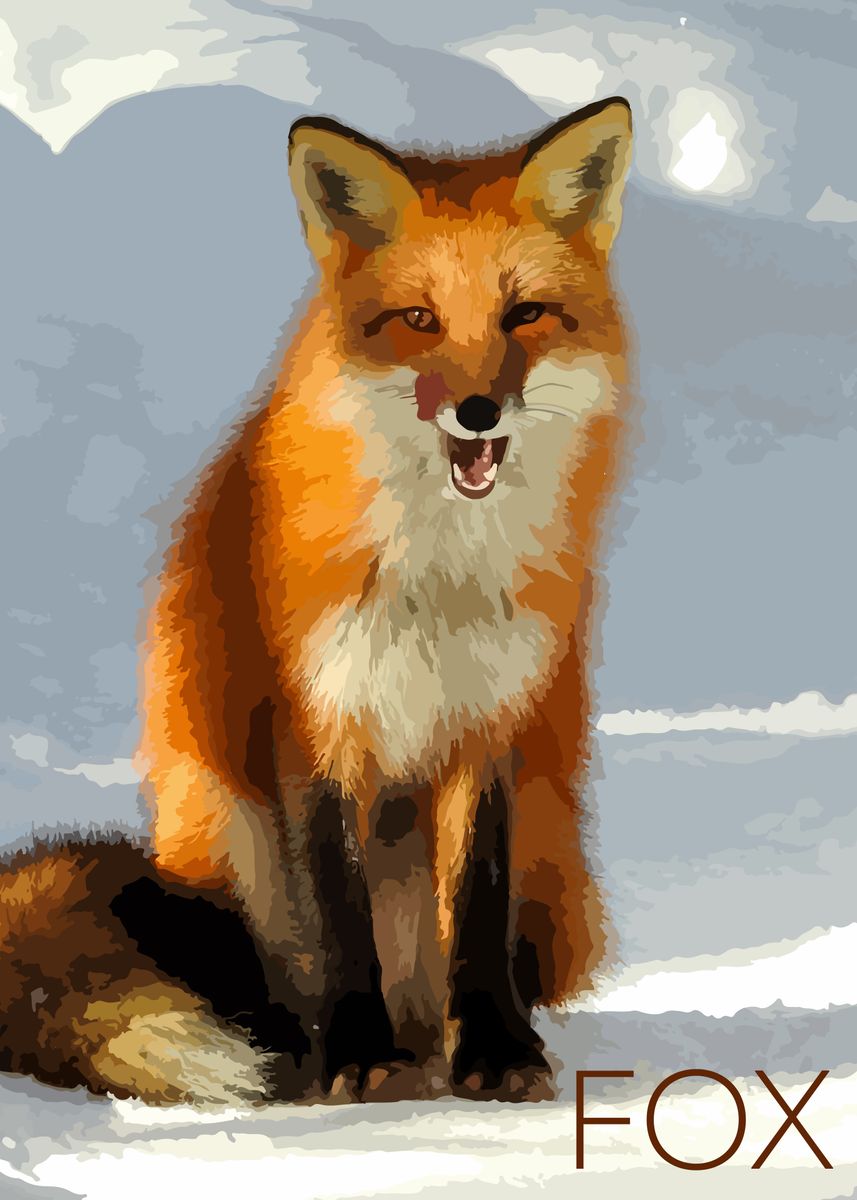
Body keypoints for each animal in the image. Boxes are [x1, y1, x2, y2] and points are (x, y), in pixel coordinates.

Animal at [0, 96, 633, 1106]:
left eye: (525, 313)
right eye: (418, 319)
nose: (479, 412)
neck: (435, 575)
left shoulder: (490, 724)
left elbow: (477, 902)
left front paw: (495, 1052)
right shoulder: (316, 716)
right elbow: (338, 908)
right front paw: (355, 1055)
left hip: (554, 849)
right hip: (225, 836)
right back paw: (292, 1051)